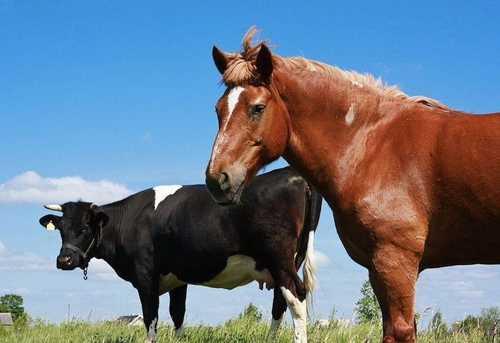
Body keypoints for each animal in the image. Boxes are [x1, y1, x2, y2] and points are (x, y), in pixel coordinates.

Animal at [38, 167, 320, 342]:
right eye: (61, 229)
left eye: (85, 228)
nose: (64, 260)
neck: (128, 220)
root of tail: (295, 175)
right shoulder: (178, 279)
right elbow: (177, 315)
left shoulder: (145, 278)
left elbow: (151, 318)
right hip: (287, 262)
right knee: (280, 304)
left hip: (280, 260)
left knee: (296, 298)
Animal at [204, 28, 500, 342]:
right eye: (218, 110)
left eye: (257, 108)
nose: (217, 179)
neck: (374, 145)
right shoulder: (377, 268)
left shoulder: (396, 262)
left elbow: (401, 330)